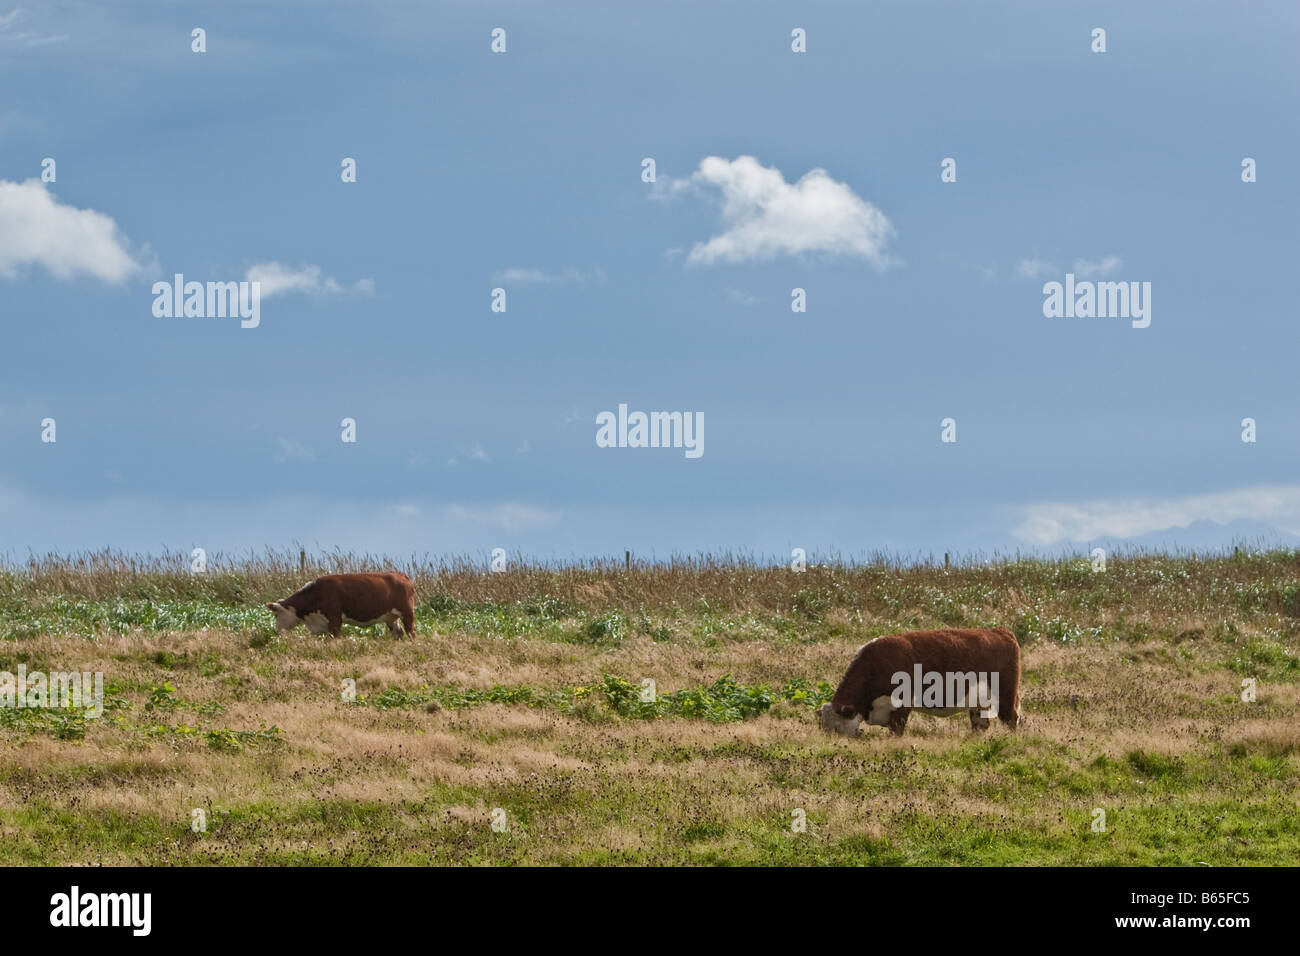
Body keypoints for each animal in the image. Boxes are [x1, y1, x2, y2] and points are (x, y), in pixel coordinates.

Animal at [265, 572, 416, 638]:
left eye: (276, 615)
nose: (278, 632)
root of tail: (401, 575)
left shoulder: (334, 617)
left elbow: (336, 637)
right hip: (391, 617)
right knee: (398, 632)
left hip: (407, 612)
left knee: (411, 631)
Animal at [817, 627, 1021, 737]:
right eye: (823, 728)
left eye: (836, 729)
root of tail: (1000, 631)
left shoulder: (902, 705)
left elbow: (896, 730)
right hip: (979, 701)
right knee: (980, 724)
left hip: (1004, 695)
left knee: (1011, 719)